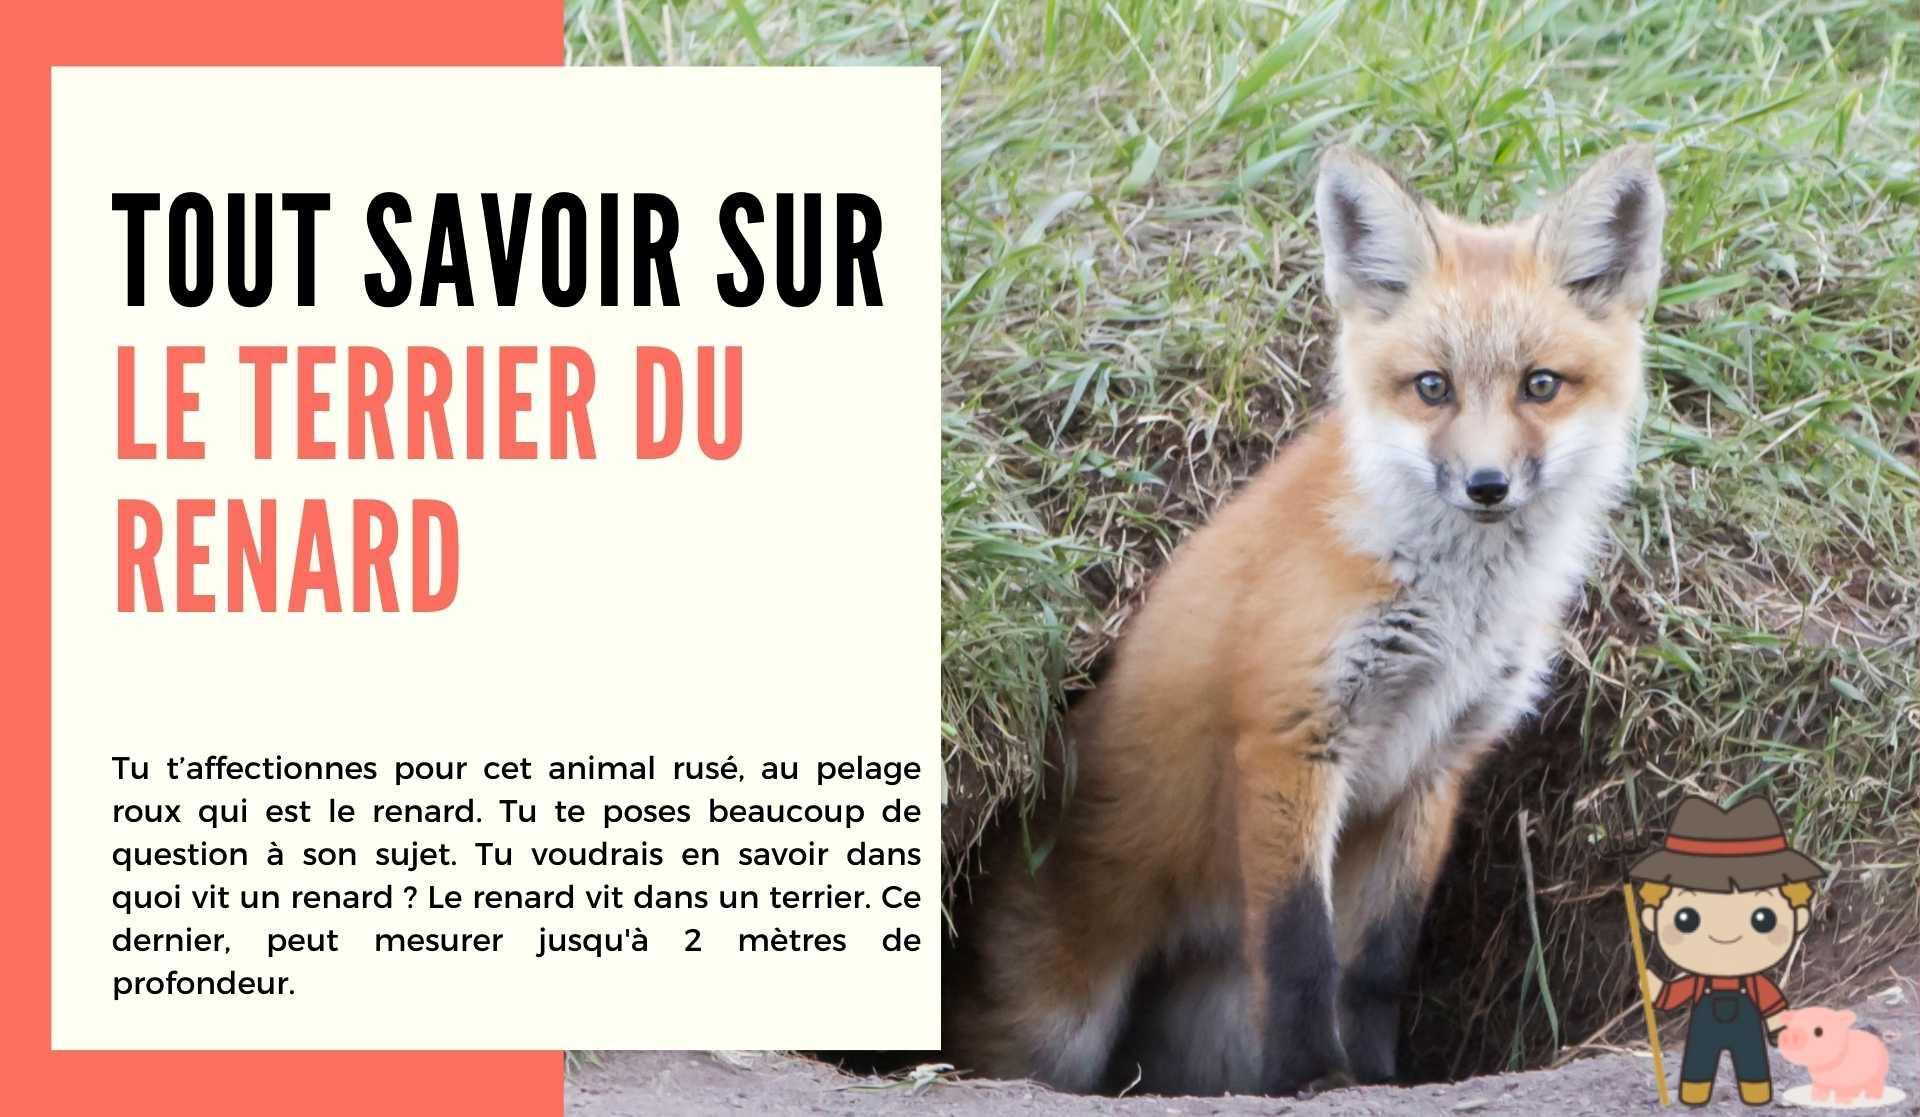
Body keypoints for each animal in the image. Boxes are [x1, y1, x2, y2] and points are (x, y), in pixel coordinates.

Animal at [944, 142, 1666, 1096]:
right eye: (1432, 387)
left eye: (1540, 385)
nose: (1486, 485)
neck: (1453, 609)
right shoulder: (1291, 737)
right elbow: (1298, 950)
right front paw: (1311, 1075)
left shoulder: (1435, 765)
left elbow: (1376, 963)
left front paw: (1376, 1073)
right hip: (1056, 1023)